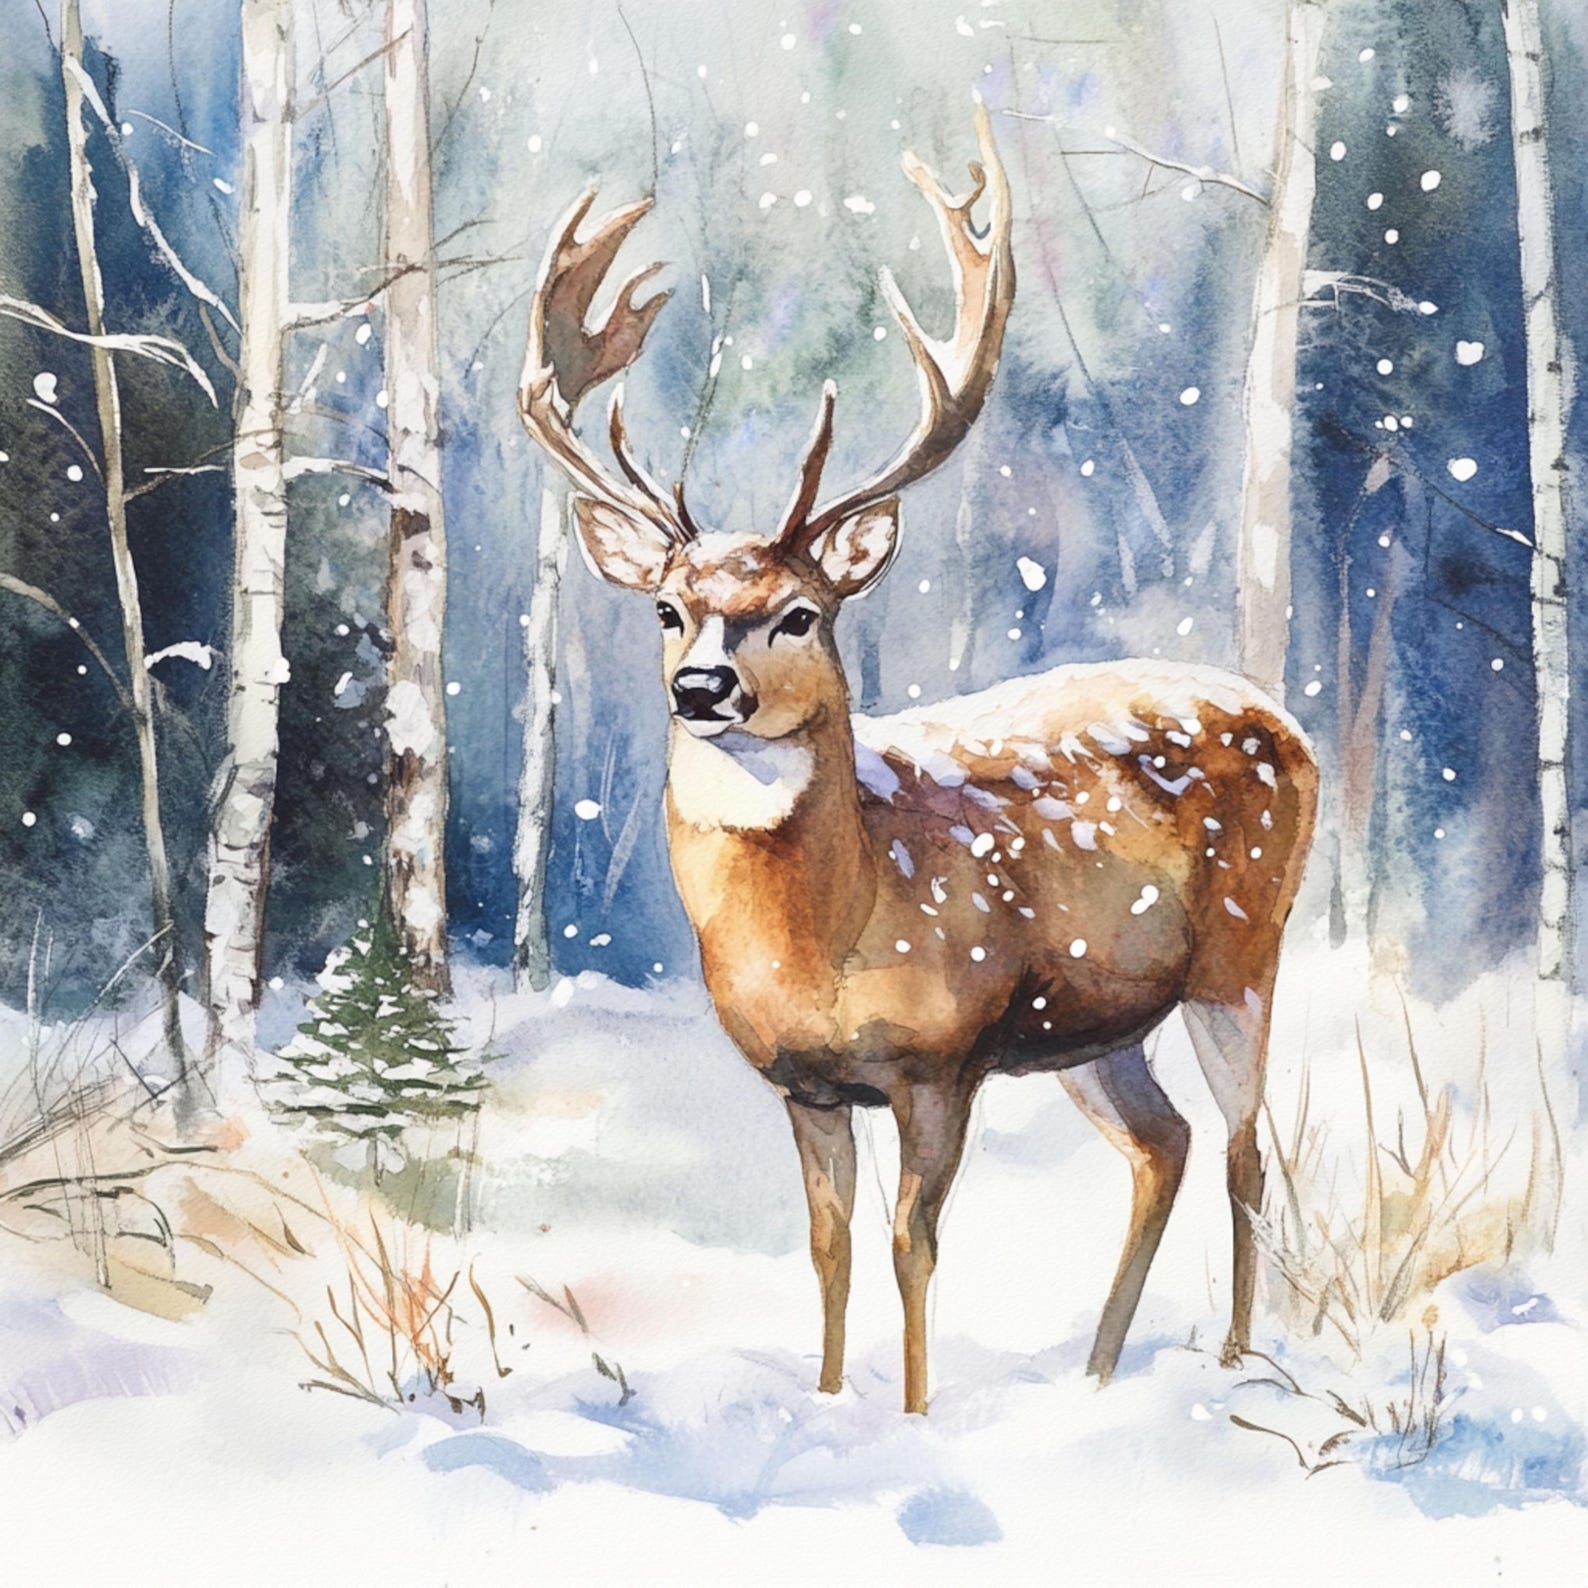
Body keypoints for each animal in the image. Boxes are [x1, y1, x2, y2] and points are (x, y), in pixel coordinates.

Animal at [517, 103, 1318, 1415]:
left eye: (799, 613)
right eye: (667, 610)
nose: (702, 688)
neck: (829, 931)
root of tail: (1284, 721)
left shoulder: (943, 1057)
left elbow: (912, 1242)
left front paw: (914, 1411)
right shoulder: (804, 1080)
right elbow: (829, 1244)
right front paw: (831, 1399)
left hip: (1240, 955)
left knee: (1249, 1148)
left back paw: (1239, 1364)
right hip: (1098, 1020)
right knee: (1167, 1144)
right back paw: (1099, 1373)